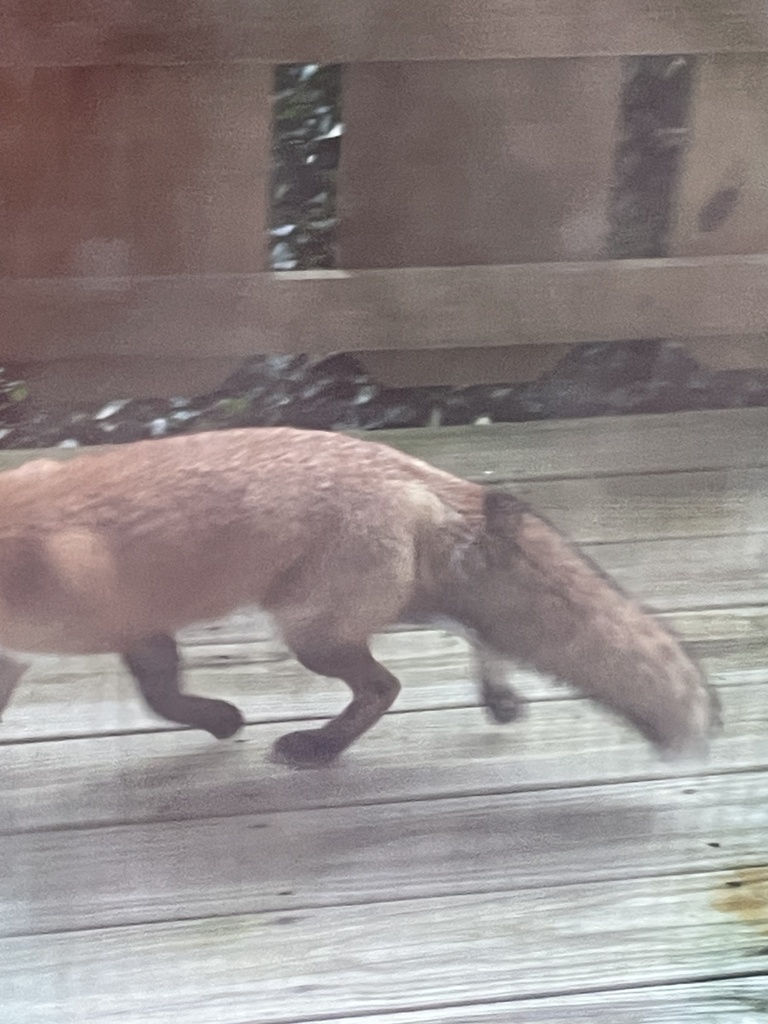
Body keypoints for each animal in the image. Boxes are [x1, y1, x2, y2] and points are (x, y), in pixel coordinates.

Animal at [0, 426, 719, 766]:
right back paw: (498, 694)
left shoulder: (135, 623)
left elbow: (161, 697)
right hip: (379, 607)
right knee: (472, 630)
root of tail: (413, 468)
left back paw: (322, 749)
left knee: (385, 687)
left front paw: (222, 721)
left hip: (311, 631)